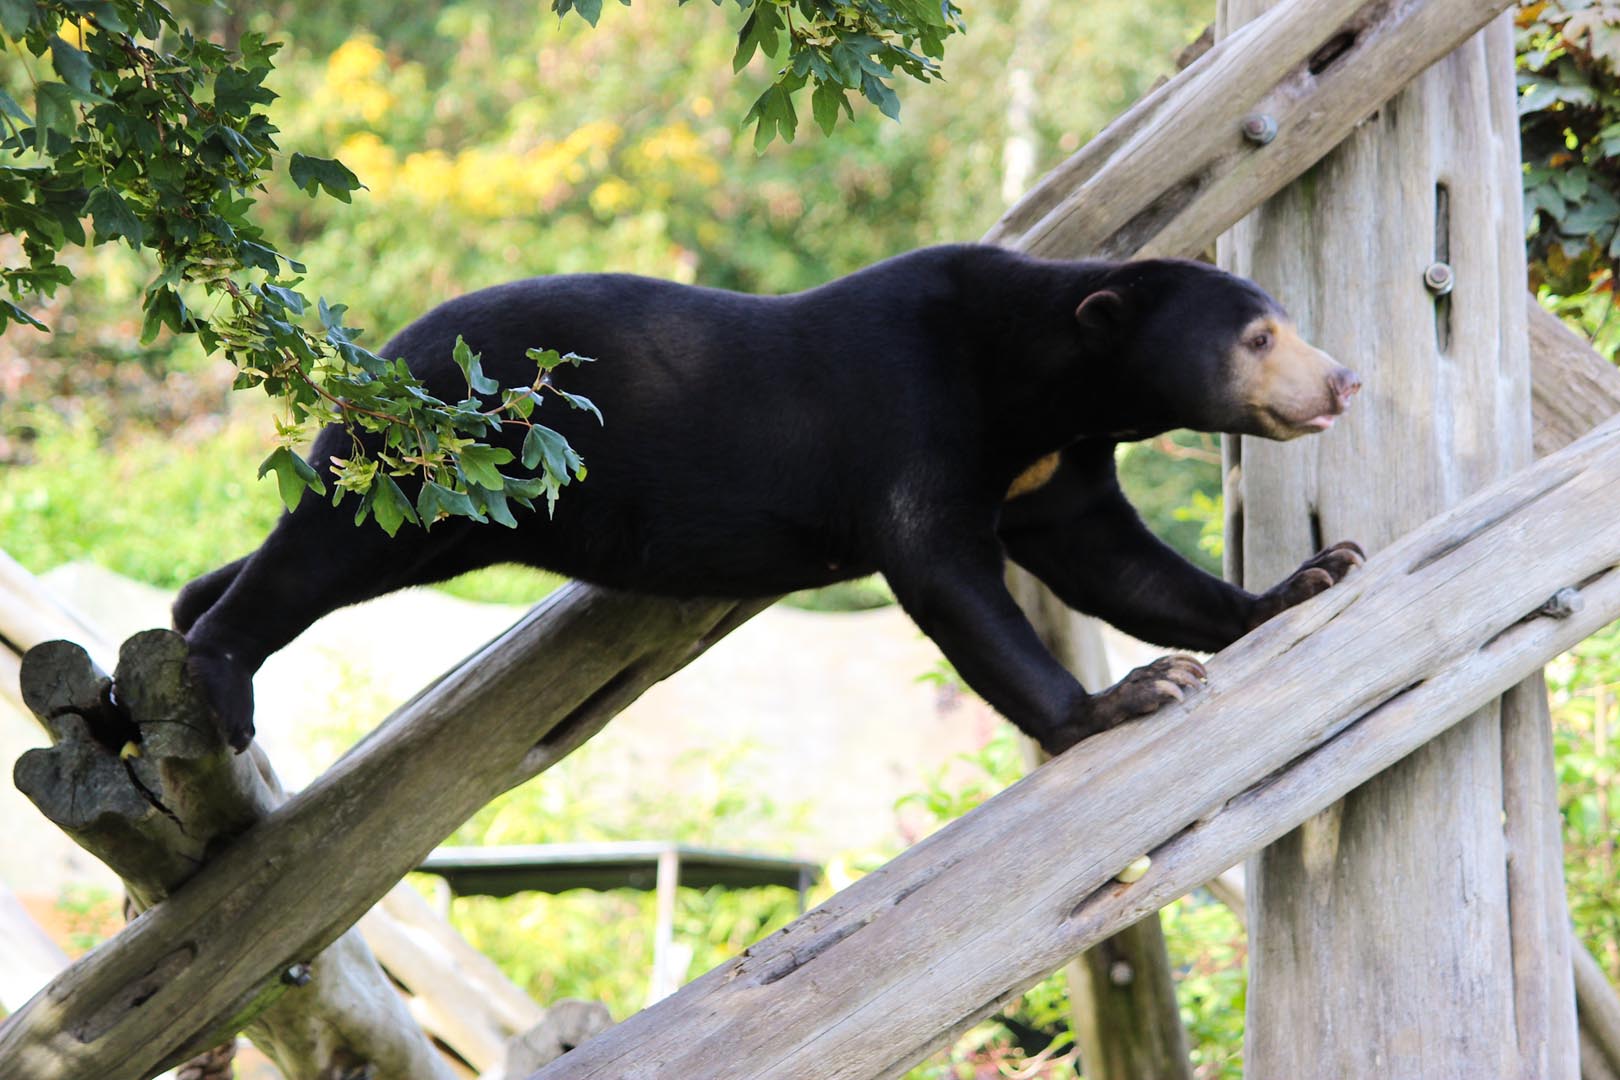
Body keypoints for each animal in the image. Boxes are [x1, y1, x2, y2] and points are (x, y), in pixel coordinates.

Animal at [173, 244, 1364, 755]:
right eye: (1260, 338)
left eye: (1287, 323)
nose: (1345, 380)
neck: (1040, 387)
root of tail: (385, 351)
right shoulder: (913, 411)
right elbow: (941, 568)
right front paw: (1129, 698)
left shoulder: (1052, 472)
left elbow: (1118, 562)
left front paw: (1311, 576)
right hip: (437, 448)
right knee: (320, 549)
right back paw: (218, 672)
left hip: (451, 513)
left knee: (326, 549)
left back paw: (188, 607)